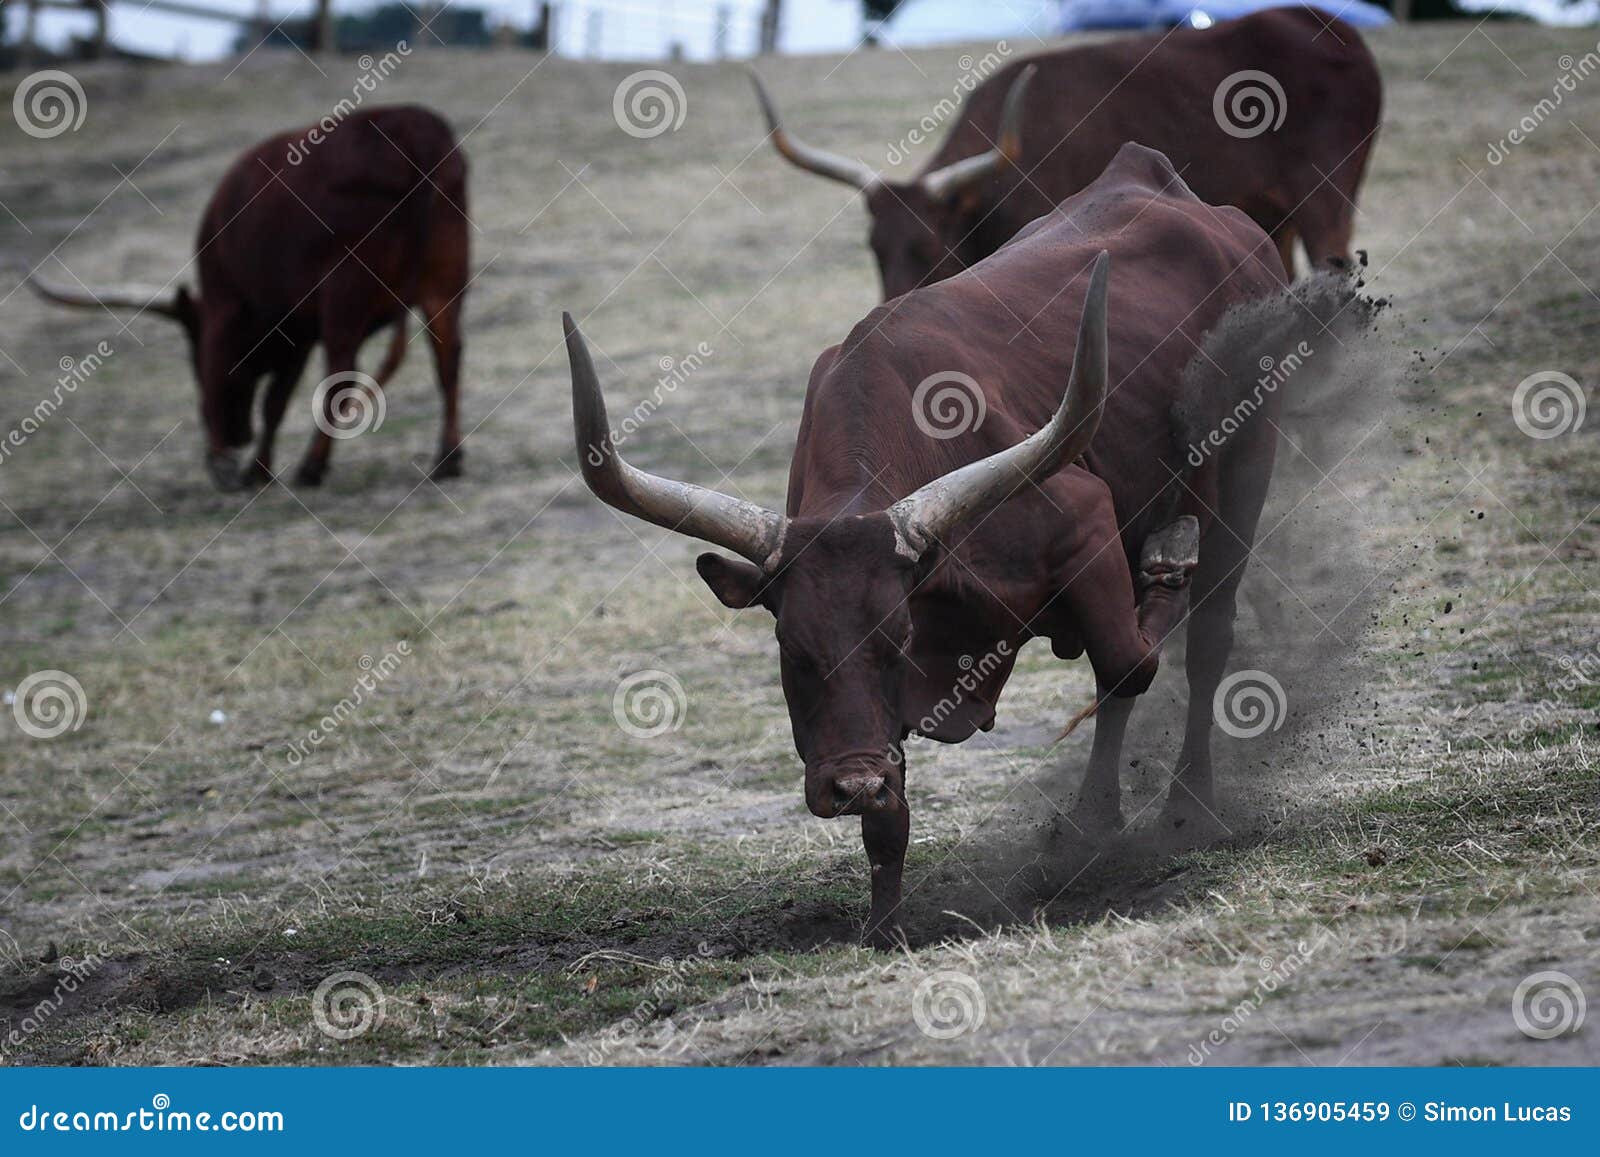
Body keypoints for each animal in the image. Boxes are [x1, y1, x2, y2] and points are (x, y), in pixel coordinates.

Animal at [29, 104, 469, 491]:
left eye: (191, 356)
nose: (235, 436)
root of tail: (414, 133)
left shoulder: (246, 316)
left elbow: (251, 388)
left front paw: (240, 466)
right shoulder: (297, 329)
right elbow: (276, 400)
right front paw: (255, 466)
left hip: (346, 294)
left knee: (342, 373)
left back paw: (311, 466)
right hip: (444, 283)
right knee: (447, 358)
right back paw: (447, 459)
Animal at [564, 143, 1295, 947]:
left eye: (897, 639)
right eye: (793, 650)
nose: (851, 782)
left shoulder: (1086, 526)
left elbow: (1129, 663)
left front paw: (1167, 569)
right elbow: (890, 814)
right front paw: (883, 928)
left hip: (1249, 470)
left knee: (1207, 639)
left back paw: (1180, 801)